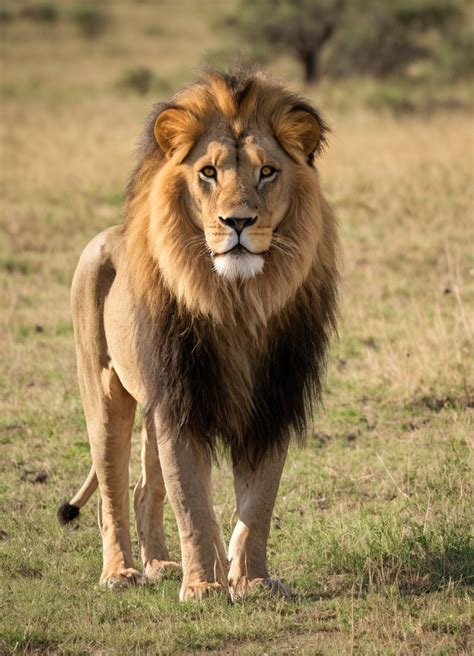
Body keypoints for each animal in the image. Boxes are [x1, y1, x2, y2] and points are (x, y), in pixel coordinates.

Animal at [57, 67, 339, 601]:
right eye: (208, 172)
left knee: (144, 489)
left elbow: (258, 506)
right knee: (112, 492)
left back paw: (160, 564)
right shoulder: (181, 402)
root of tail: (109, 234)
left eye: (267, 172)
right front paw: (205, 586)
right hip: (105, 394)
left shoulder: (270, 403)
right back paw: (120, 572)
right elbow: (192, 504)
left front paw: (252, 580)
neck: (237, 301)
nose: (238, 221)